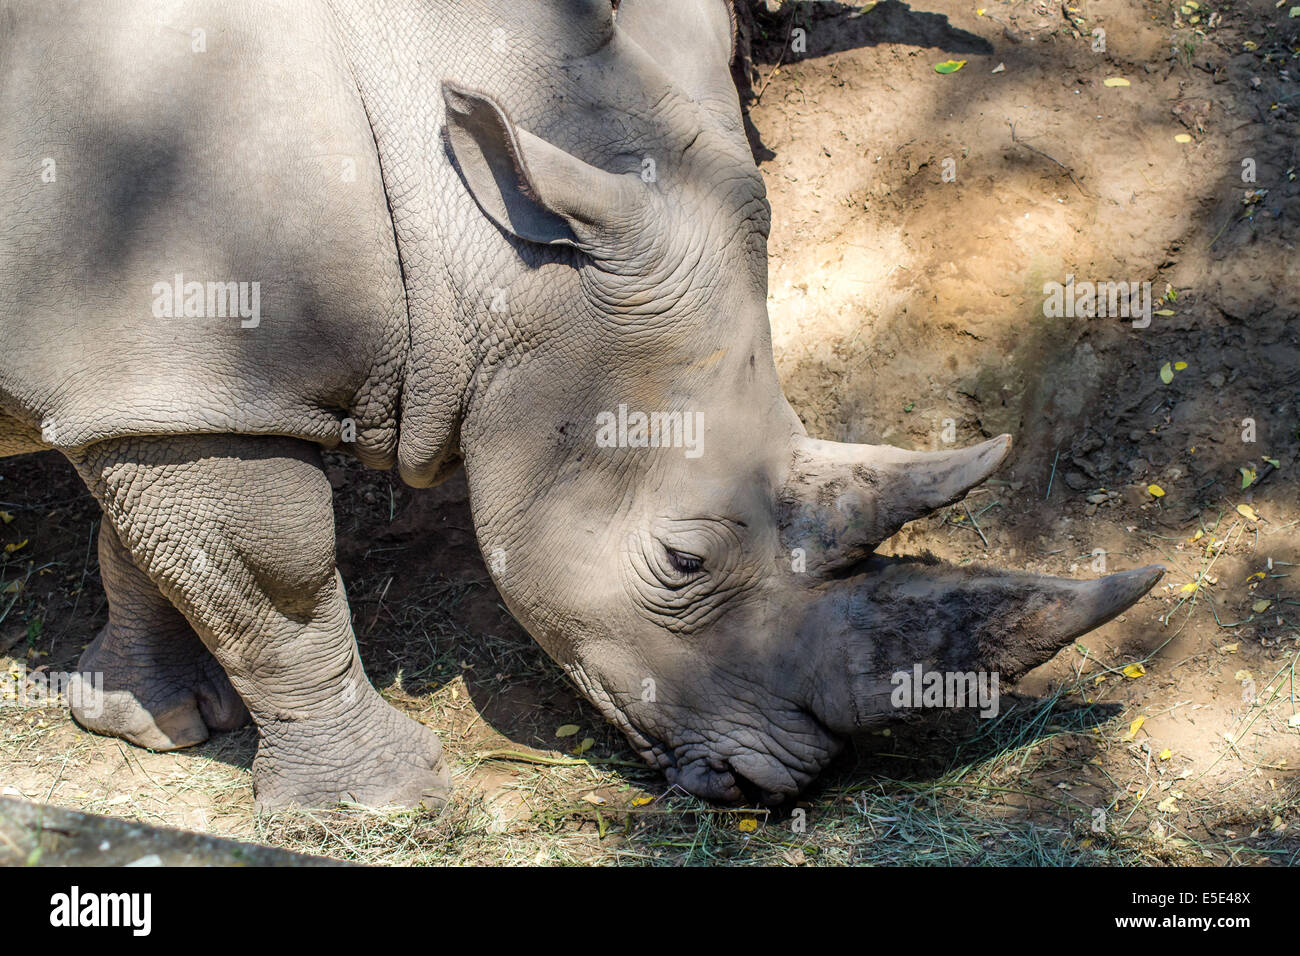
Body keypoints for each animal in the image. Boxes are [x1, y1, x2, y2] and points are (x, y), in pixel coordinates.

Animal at [0, 0, 1162, 808]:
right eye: (682, 561)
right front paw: (384, 802)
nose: (783, 784)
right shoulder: (184, 367)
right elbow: (275, 587)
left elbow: (151, 542)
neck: (478, 227)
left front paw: (150, 723)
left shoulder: (166, 373)